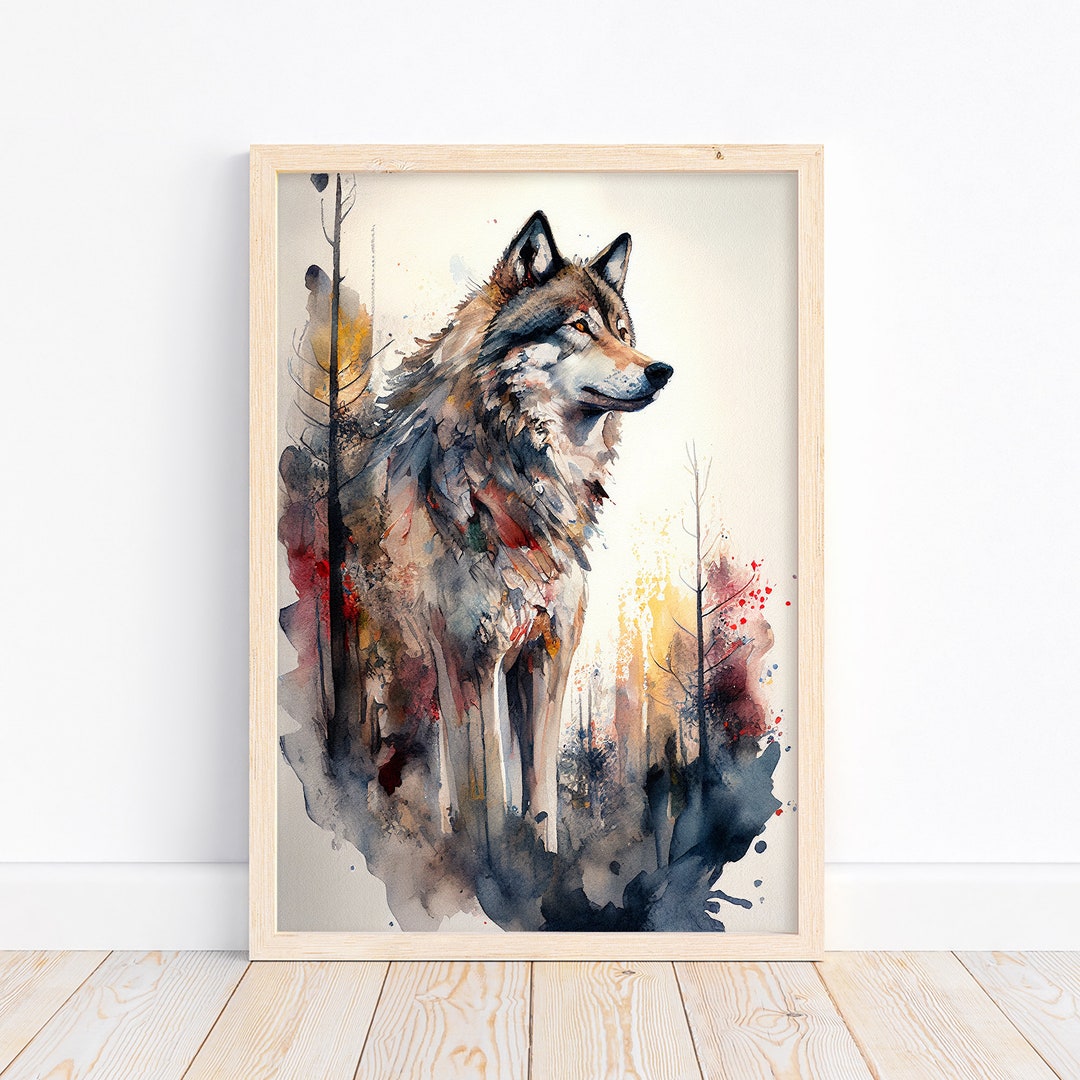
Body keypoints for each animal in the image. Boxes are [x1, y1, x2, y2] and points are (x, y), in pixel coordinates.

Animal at [337, 211, 673, 855]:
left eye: (622, 331)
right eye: (579, 327)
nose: (661, 370)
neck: (517, 478)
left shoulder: (548, 653)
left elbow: (539, 792)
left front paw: (540, 867)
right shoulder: (466, 659)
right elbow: (485, 794)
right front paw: (489, 872)